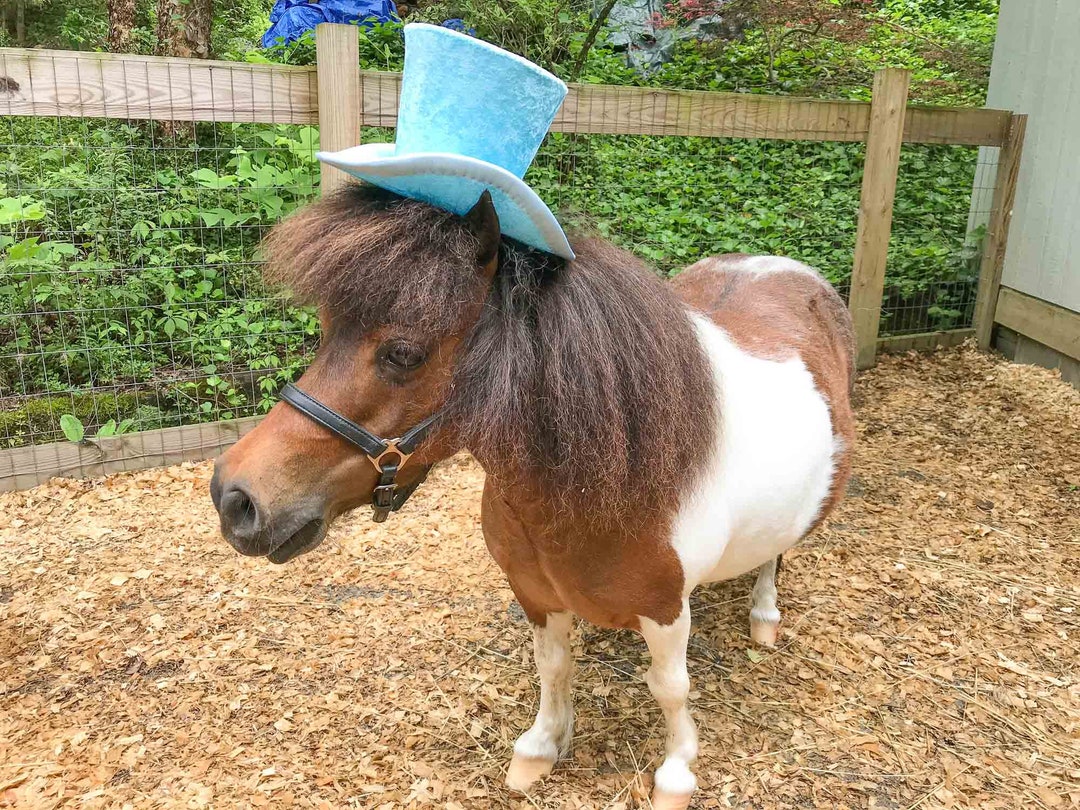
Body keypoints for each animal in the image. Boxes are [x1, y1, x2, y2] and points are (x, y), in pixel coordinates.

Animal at [210, 185, 855, 810]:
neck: (604, 487)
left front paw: (676, 774)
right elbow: (553, 665)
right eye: (326, 332)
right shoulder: (534, 593)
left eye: (403, 352)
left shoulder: (666, 610)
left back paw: (764, 614)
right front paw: (542, 747)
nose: (233, 496)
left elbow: (670, 688)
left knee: (775, 556)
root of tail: (784, 267)